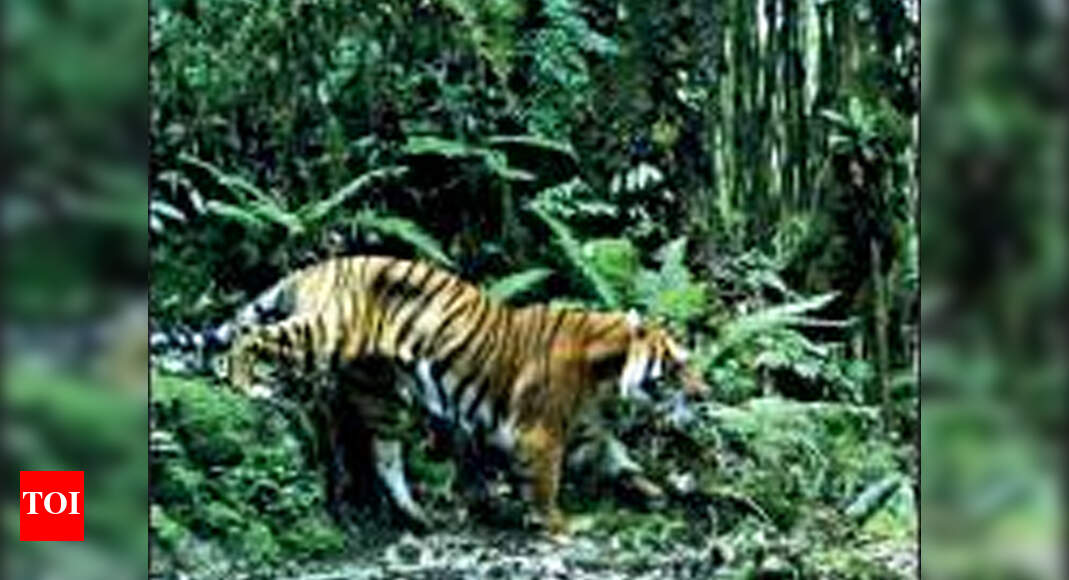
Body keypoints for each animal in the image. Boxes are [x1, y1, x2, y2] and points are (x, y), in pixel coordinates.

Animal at [152, 255, 707, 537]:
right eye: (678, 366)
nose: (704, 393)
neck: (606, 376)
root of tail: (317, 266)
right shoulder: (540, 433)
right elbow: (546, 483)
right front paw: (558, 522)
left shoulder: (588, 428)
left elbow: (620, 458)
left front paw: (653, 489)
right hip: (325, 332)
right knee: (249, 338)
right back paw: (246, 382)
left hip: (381, 393)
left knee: (384, 457)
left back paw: (417, 516)